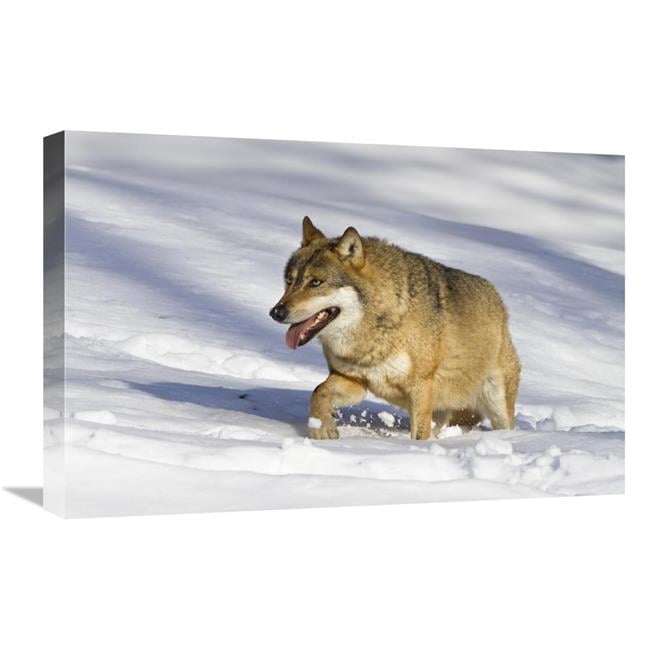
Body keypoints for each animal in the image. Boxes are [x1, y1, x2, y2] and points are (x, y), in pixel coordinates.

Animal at [269, 217, 521, 440]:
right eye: (289, 281)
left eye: (315, 283)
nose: (276, 312)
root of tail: (499, 302)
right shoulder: (353, 380)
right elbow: (318, 391)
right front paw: (321, 429)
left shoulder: (420, 386)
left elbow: (419, 436)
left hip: (496, 403)